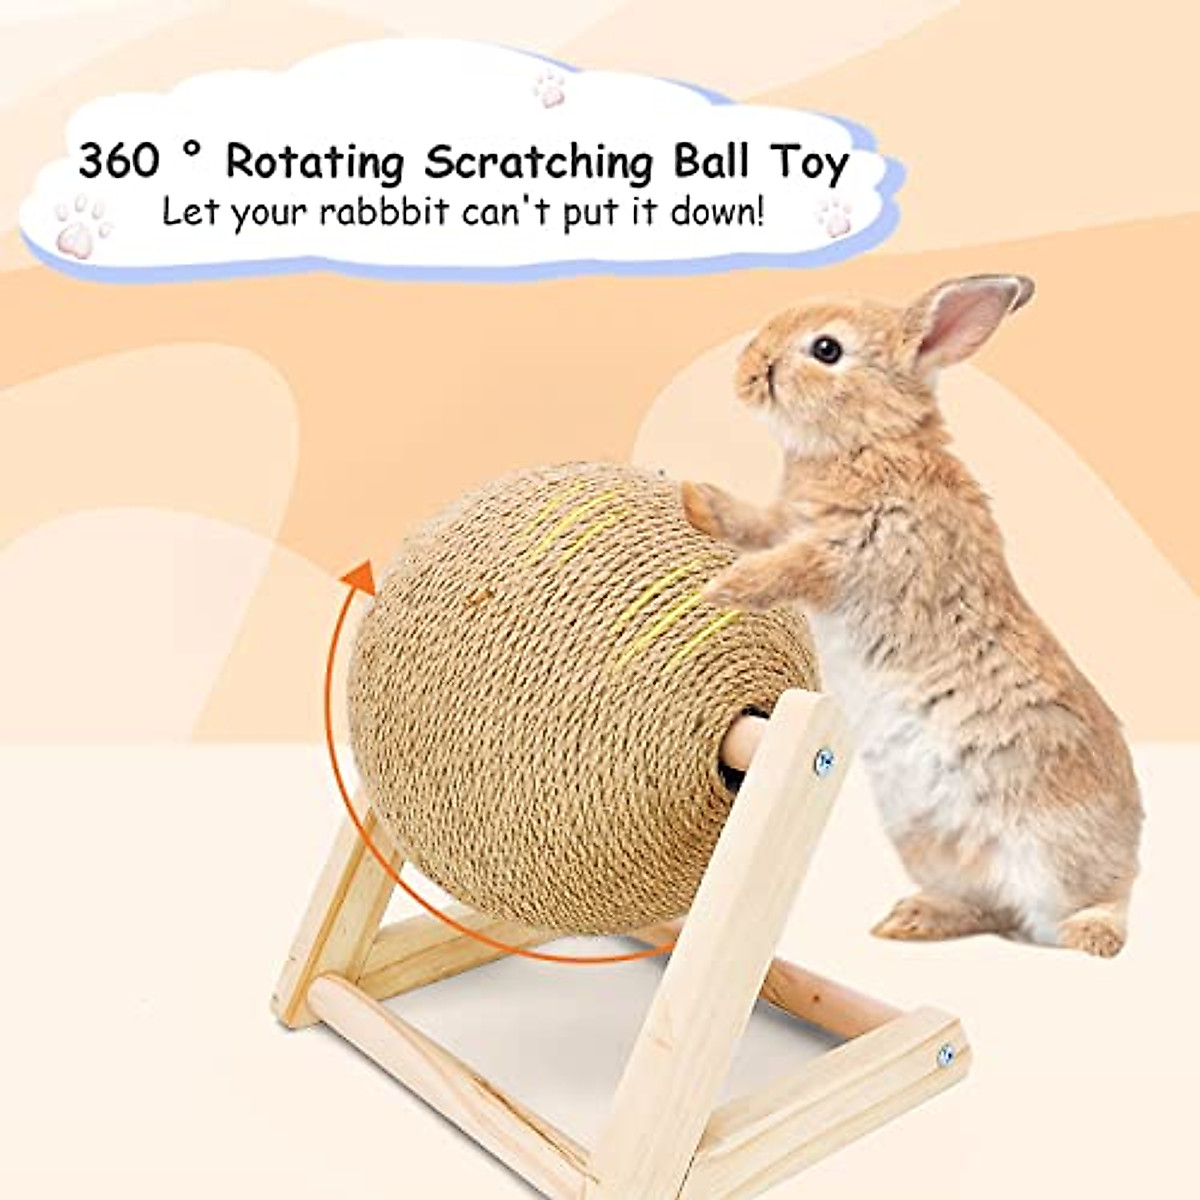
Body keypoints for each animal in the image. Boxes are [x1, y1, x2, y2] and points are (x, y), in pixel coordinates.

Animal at [681, 274, 1142, 957]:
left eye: (826, 349)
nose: (747, 370)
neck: (868, 440)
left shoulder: (859, 551)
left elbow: (790, 566)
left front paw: (727, 587)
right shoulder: (787, 522)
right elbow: (755, 525)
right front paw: (697, 500)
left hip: (1060, 844)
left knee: (1106, 897)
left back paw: (1090, 936)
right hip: (928, 842)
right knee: (988, 907)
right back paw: (911, 921)